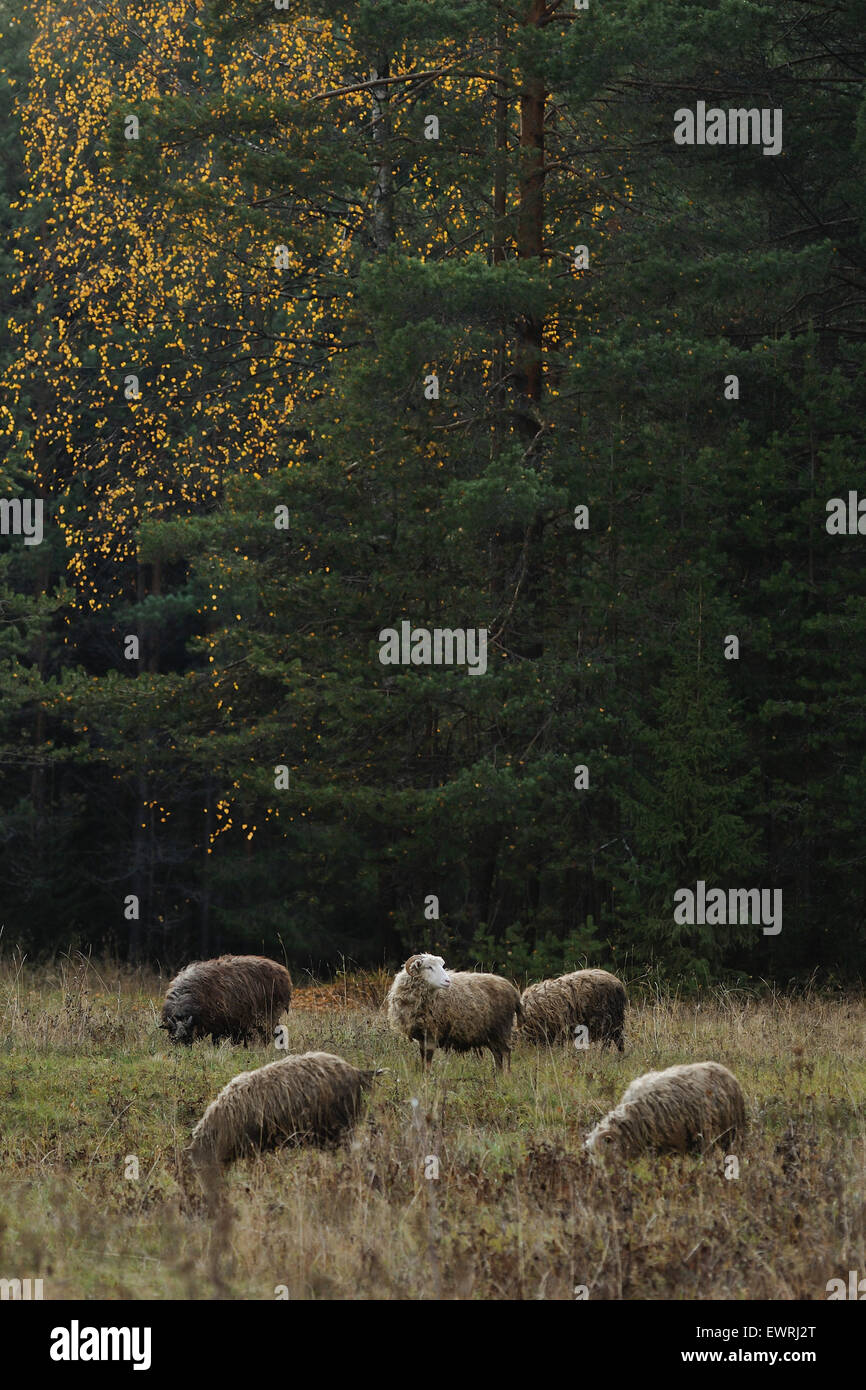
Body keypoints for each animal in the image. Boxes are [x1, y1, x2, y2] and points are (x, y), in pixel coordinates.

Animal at [159, 954, 293, 1046]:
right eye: (173, 1039)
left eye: (187, 1038)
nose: (181, 1055)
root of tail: (283, 972)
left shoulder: (217, 1025)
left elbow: (215, 1042)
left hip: (269, 1015)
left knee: (268, 1036)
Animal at [386, 953, 521, 1070]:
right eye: (429, 967)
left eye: (442, 966)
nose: (447, 981)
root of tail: (512, 990)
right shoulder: (422, 1036)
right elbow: (423, 1059)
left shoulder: (431, 1033)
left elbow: (428, 1060)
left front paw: (428, 1078)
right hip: (491, 1034)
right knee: (497, 1055)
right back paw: (498, 1075)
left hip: (502, 1029)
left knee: (506, 1052)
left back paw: (506, 1076)